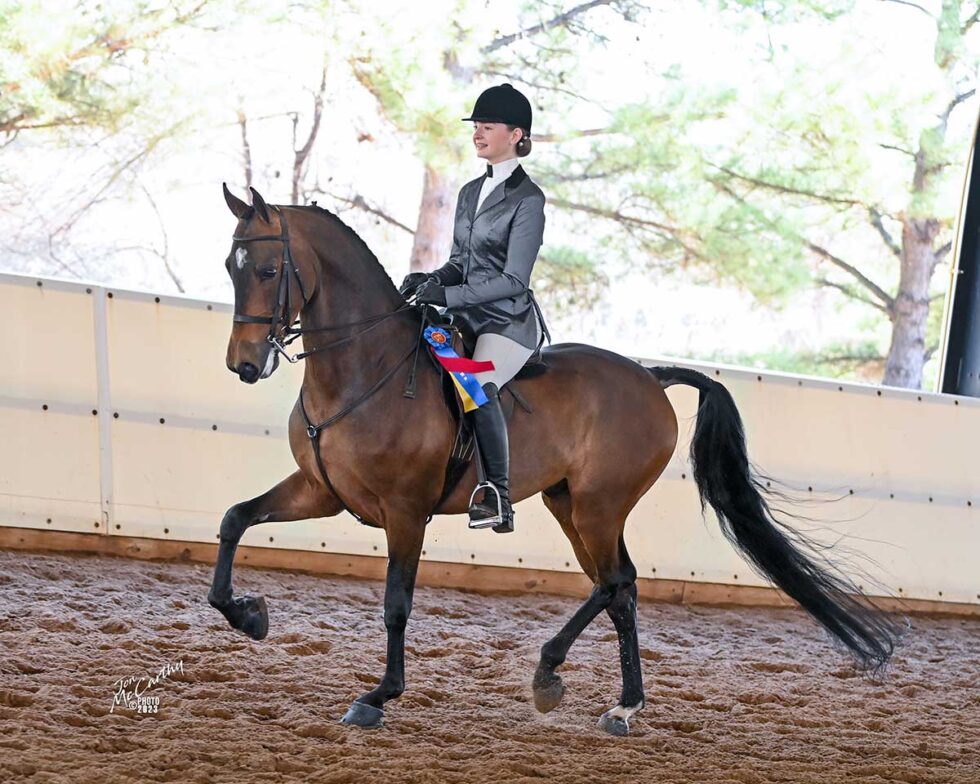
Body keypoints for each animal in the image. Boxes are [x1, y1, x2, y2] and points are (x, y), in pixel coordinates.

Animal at [207, 184, 902, 736]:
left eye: (267, 269)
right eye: (230, 267)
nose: (242, 364)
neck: (362, 369)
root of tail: (650, 377)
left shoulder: (406, 512)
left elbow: (396, 605)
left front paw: (378, 696)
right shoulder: (321, 491)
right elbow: (235, 518)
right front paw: (248, 615)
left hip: (599, 505)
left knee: (617, 582)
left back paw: (563, 677)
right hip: (568, 502)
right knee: (617, 587)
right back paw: (618, 702)